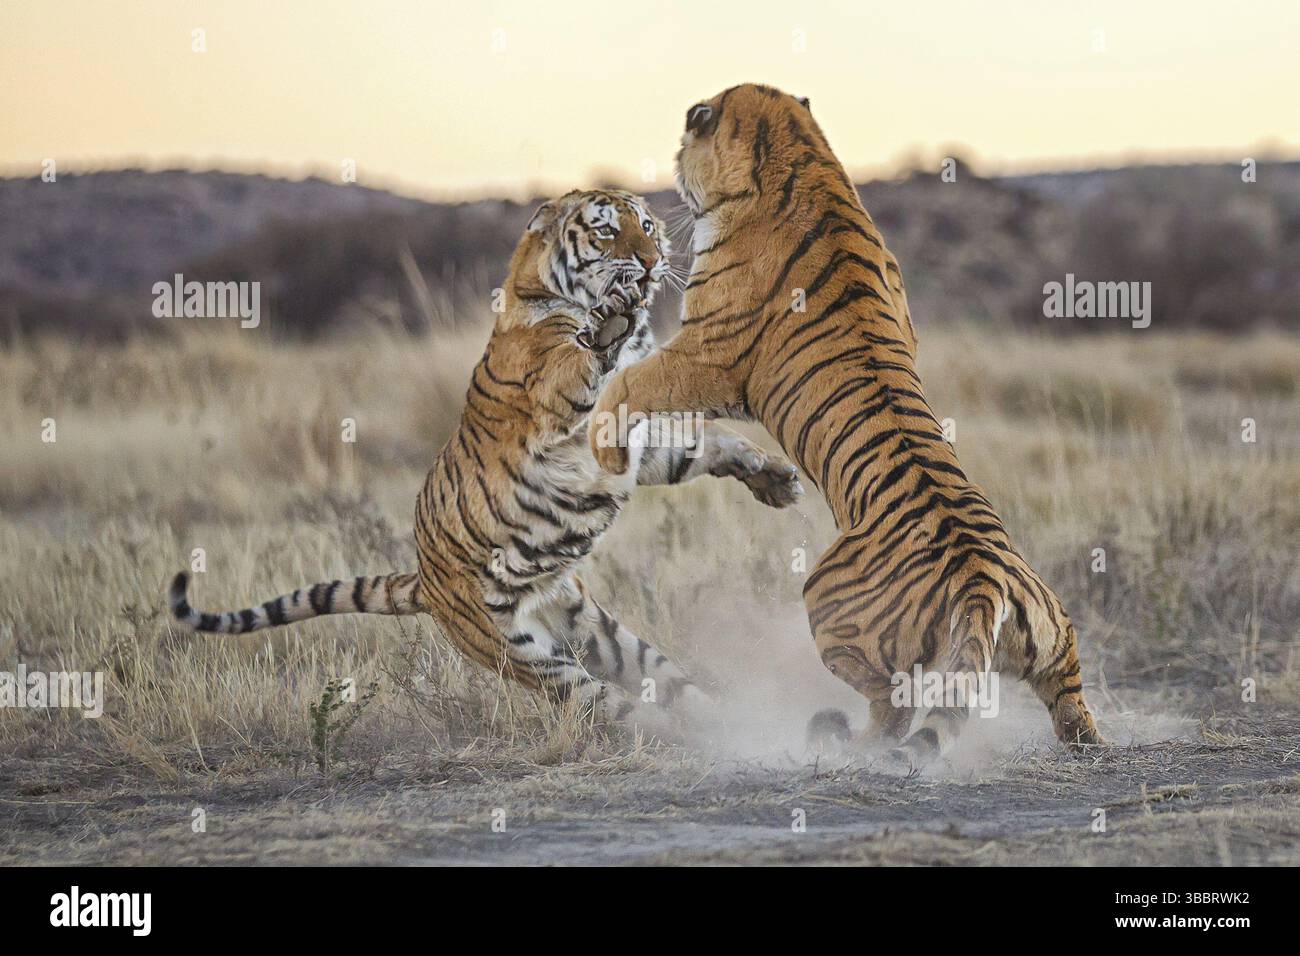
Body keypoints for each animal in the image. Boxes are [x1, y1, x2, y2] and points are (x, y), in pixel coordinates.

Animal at [169, 187, 804, 732]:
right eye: (607, 231)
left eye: (646, 227)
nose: (649, 264)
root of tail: (423, 580)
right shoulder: (573, 407)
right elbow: (593, 365)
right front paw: (610, 322)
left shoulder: (639, 439)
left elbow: (705, 442)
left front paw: (776, 479)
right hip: (530, 657)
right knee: (613, 705)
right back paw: (695, 738)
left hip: (596, 630)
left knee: (664, 682)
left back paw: (732, 724)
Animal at [588, 85, 1104, 766]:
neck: (805, 158)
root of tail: (983, 582)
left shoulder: (708, 353)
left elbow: (628, 384)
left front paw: (602, 437)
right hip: (1055, 637)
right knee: (1068, 700)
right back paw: (1091, 741)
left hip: (824, 601)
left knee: (895, 703)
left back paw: (844, 740)